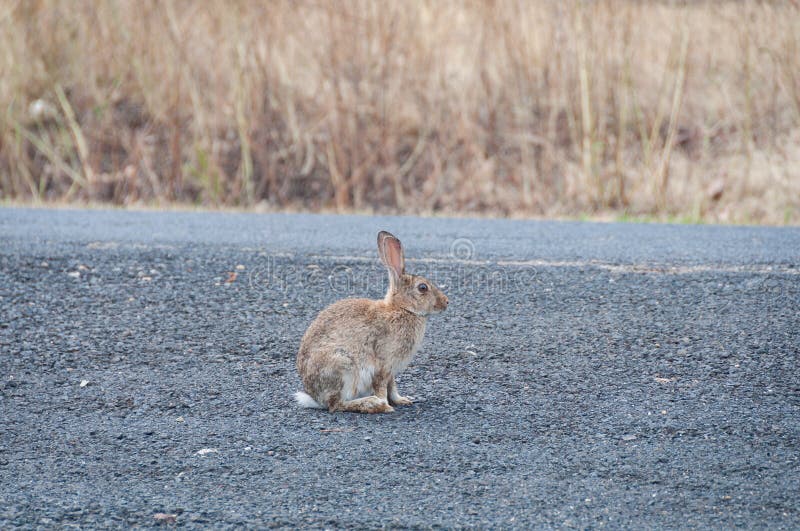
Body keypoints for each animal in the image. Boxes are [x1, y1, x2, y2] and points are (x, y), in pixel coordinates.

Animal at [294, 230, 448, 413]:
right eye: (422, 288)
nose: (446, 302)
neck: (402, 308)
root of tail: (315, 397)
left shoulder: (391, 370)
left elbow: (392, 386)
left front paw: (402, 400)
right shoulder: (383, 364)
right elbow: (381, 387)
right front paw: (386, 405)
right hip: (344, 367)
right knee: (336, 405)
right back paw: (373, 404)